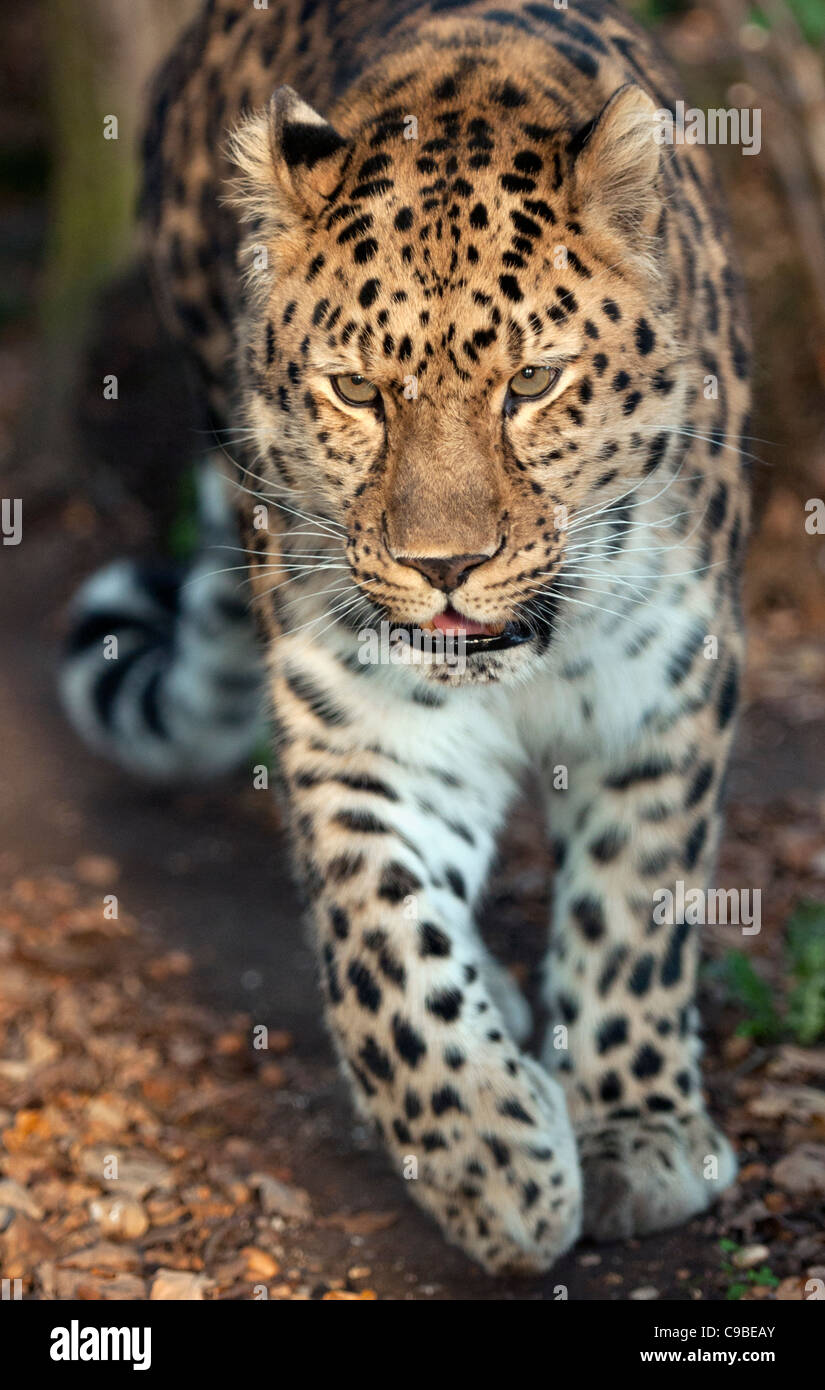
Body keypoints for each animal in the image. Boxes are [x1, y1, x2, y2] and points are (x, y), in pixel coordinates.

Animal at [61, 0, 751, 1274]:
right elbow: (386, 946)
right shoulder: (368, 724)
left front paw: (635, 1127)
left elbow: (638, 905)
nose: (443, 568)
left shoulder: (667, 691)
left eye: (533, 382)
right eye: (355, 390)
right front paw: (493, 1163)